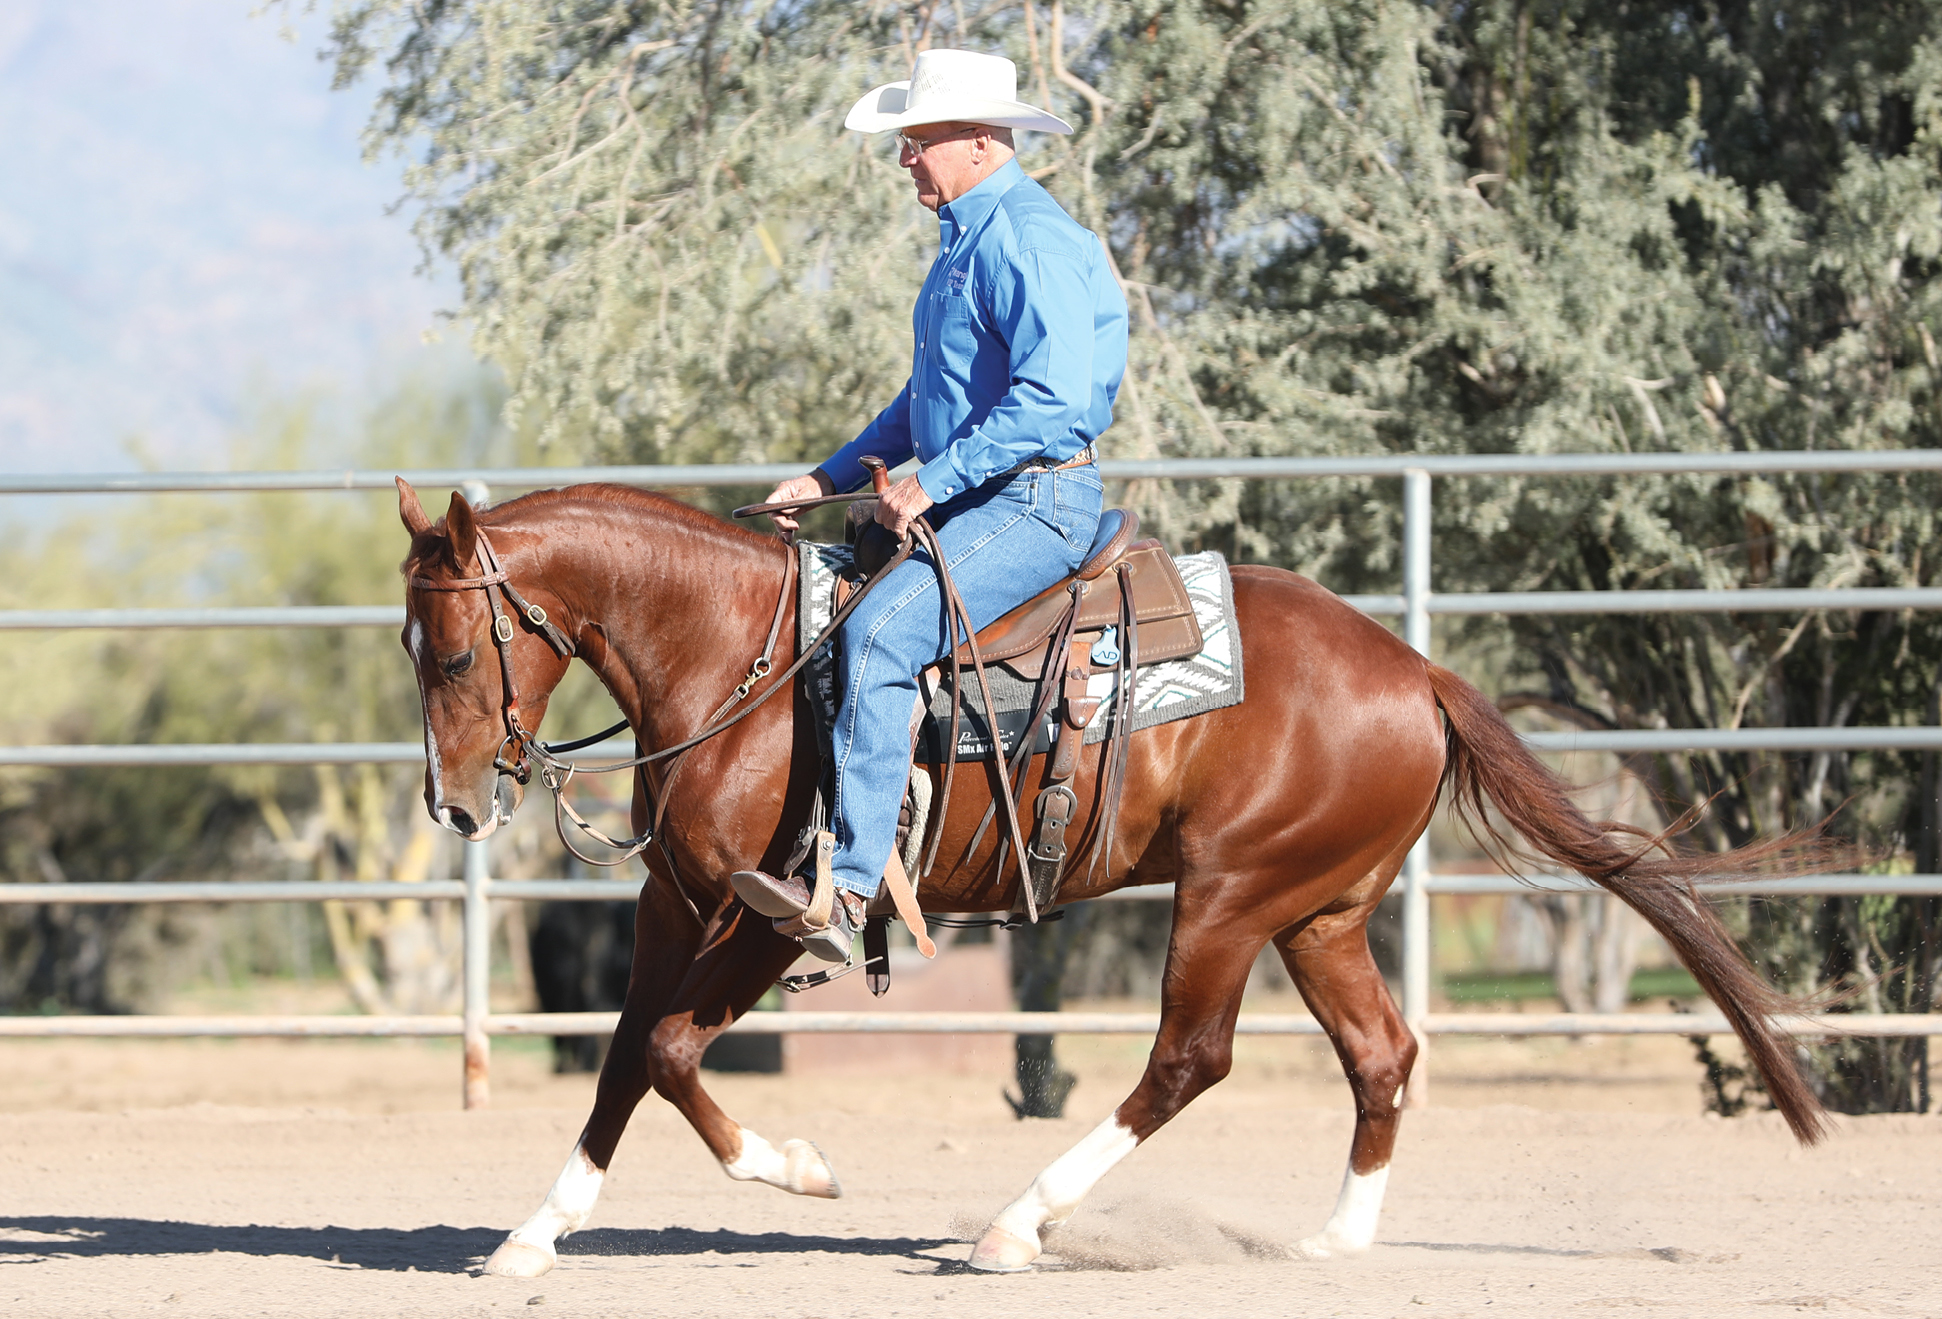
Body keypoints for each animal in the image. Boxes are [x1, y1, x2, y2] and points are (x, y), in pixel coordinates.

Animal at [394, 477, 1825, 1278]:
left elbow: (676, 1051)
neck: (742, 662)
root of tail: (1415, 668)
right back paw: (1333, 1239)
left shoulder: (771, 912)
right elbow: (625, 1051)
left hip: (1232, 898)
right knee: (1380, 1053)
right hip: (1320, 913)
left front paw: (799, 1167)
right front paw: (534, 1233)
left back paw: (1017, 1225)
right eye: (412, 648)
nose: (457, 803)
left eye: (456, 651)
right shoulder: (674, 904)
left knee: (1189, 1058)